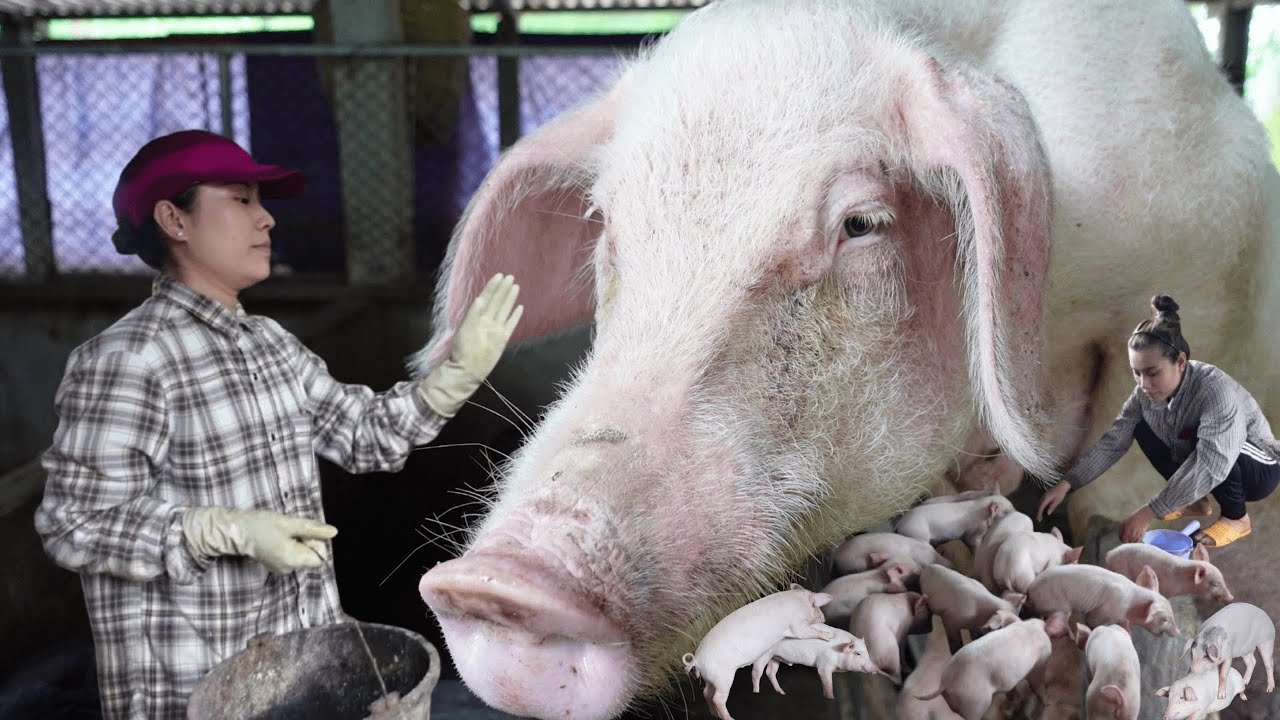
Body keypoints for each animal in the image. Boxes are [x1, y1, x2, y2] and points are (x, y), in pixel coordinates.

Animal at [681, 585, 834, 720]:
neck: (799, 600)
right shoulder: (798, 624)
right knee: (717, 698)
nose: (825, 619)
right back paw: (730, 718)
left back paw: (714, 714)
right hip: (723, 677)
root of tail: (697, 660)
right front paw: (829, 636)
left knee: (706, 692)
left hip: (711, 678)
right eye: (817, 607)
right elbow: (805, 632)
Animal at [749, 625, 879, 699]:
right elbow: (828, 684)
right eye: (858, 653)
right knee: (756, 673)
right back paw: (756, 692)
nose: (875, 669)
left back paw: (783, 693)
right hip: (763, 655)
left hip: (774, 657)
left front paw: (825, 696)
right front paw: (831, 698)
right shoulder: (824, 665)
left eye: (867, 652)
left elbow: (825, 685)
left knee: (770, 672)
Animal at [912, 618, 1054, 720]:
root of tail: (945, 682)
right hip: (975, 702)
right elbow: (1037, 682)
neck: (1032, 627)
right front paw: (1048, 703)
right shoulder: (1039, 664)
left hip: (956, 700)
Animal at [1026, 564, 1179, 638]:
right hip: (1054, 604)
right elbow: (1093, 622)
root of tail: (1030, 591)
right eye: (1164, 619)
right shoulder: (1103, 611)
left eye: (1172, 613)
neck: (1130, 609)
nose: (1179, 632)